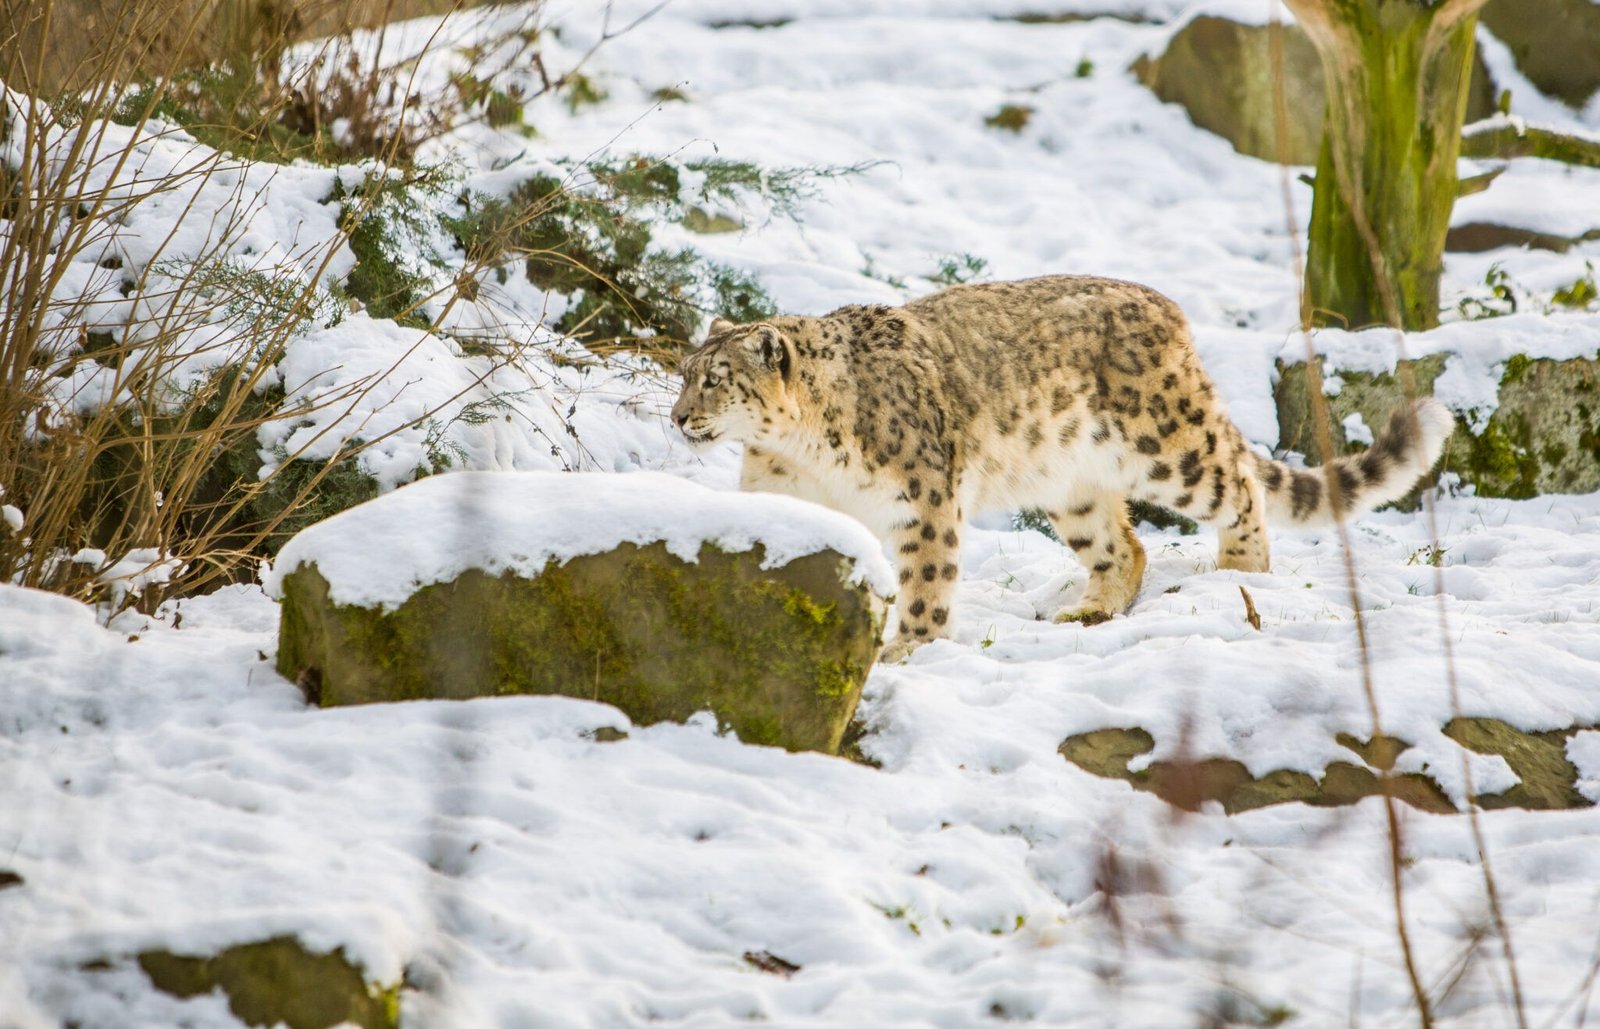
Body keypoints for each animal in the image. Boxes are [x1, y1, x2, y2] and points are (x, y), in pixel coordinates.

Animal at [671, 275, 1454, 661]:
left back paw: (1240, 575)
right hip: (1070, 484)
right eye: (684, 374)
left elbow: (928, 579)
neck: (804, 451)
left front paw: (908, 648)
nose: (677, 417)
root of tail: (1171, 311)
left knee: (1237, 486)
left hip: (1168, 445)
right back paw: (1090, 608)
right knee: (1124, 545)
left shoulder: (924, 499)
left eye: (715, 379)